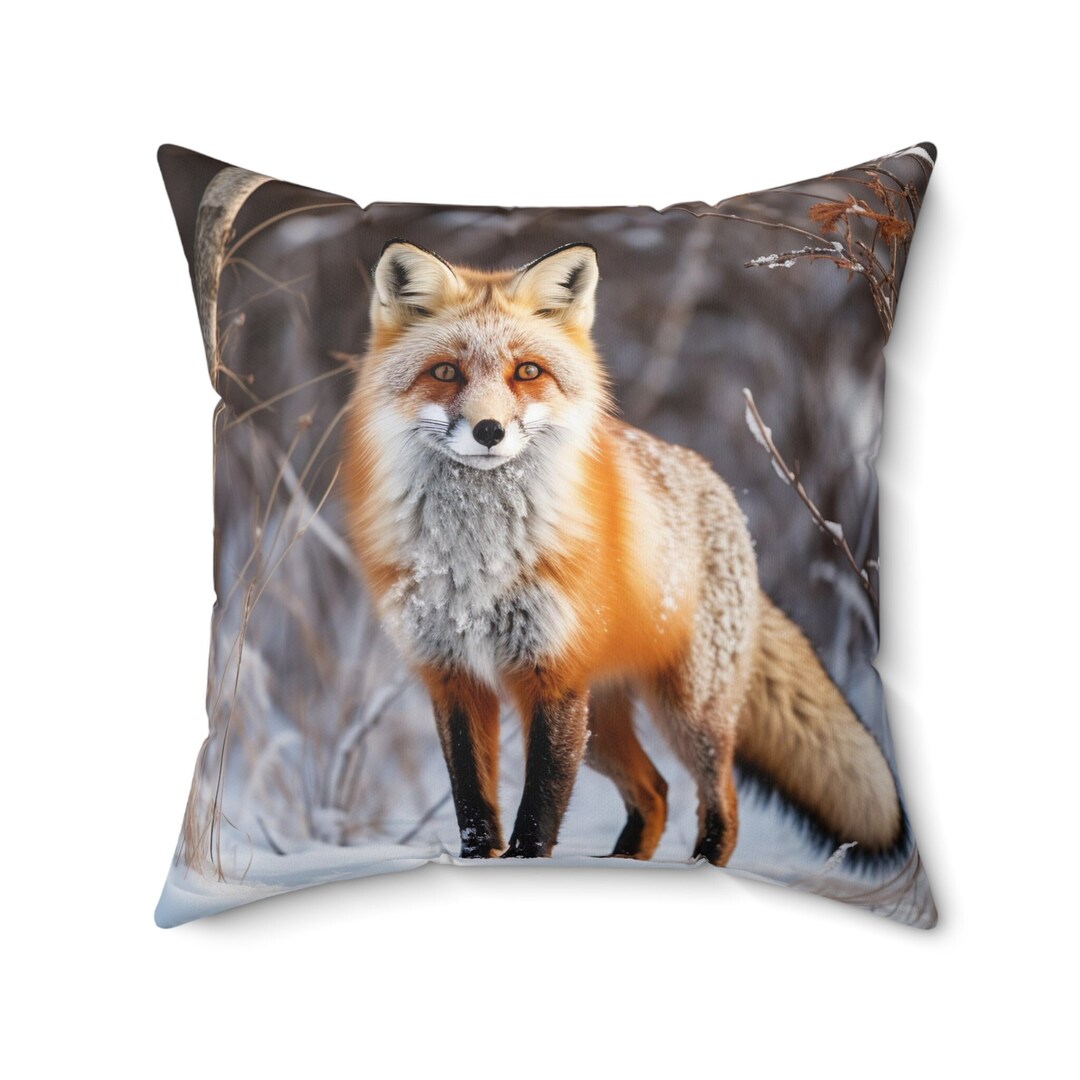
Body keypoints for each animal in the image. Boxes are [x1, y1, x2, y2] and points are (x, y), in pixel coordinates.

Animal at [341, 239, 903, 866]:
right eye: (445, 371)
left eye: (527, 371)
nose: (489, 430)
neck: (478, 554)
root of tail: (718, 489)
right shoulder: (452, 672)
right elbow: (472, 798)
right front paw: (479, 861)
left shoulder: (553, 674)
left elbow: (541, 800)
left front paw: (524, 863)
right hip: (599, 729)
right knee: (655, 790)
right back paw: (624, 863)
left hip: (687, 710)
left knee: (720, 798)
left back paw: (699, 867)